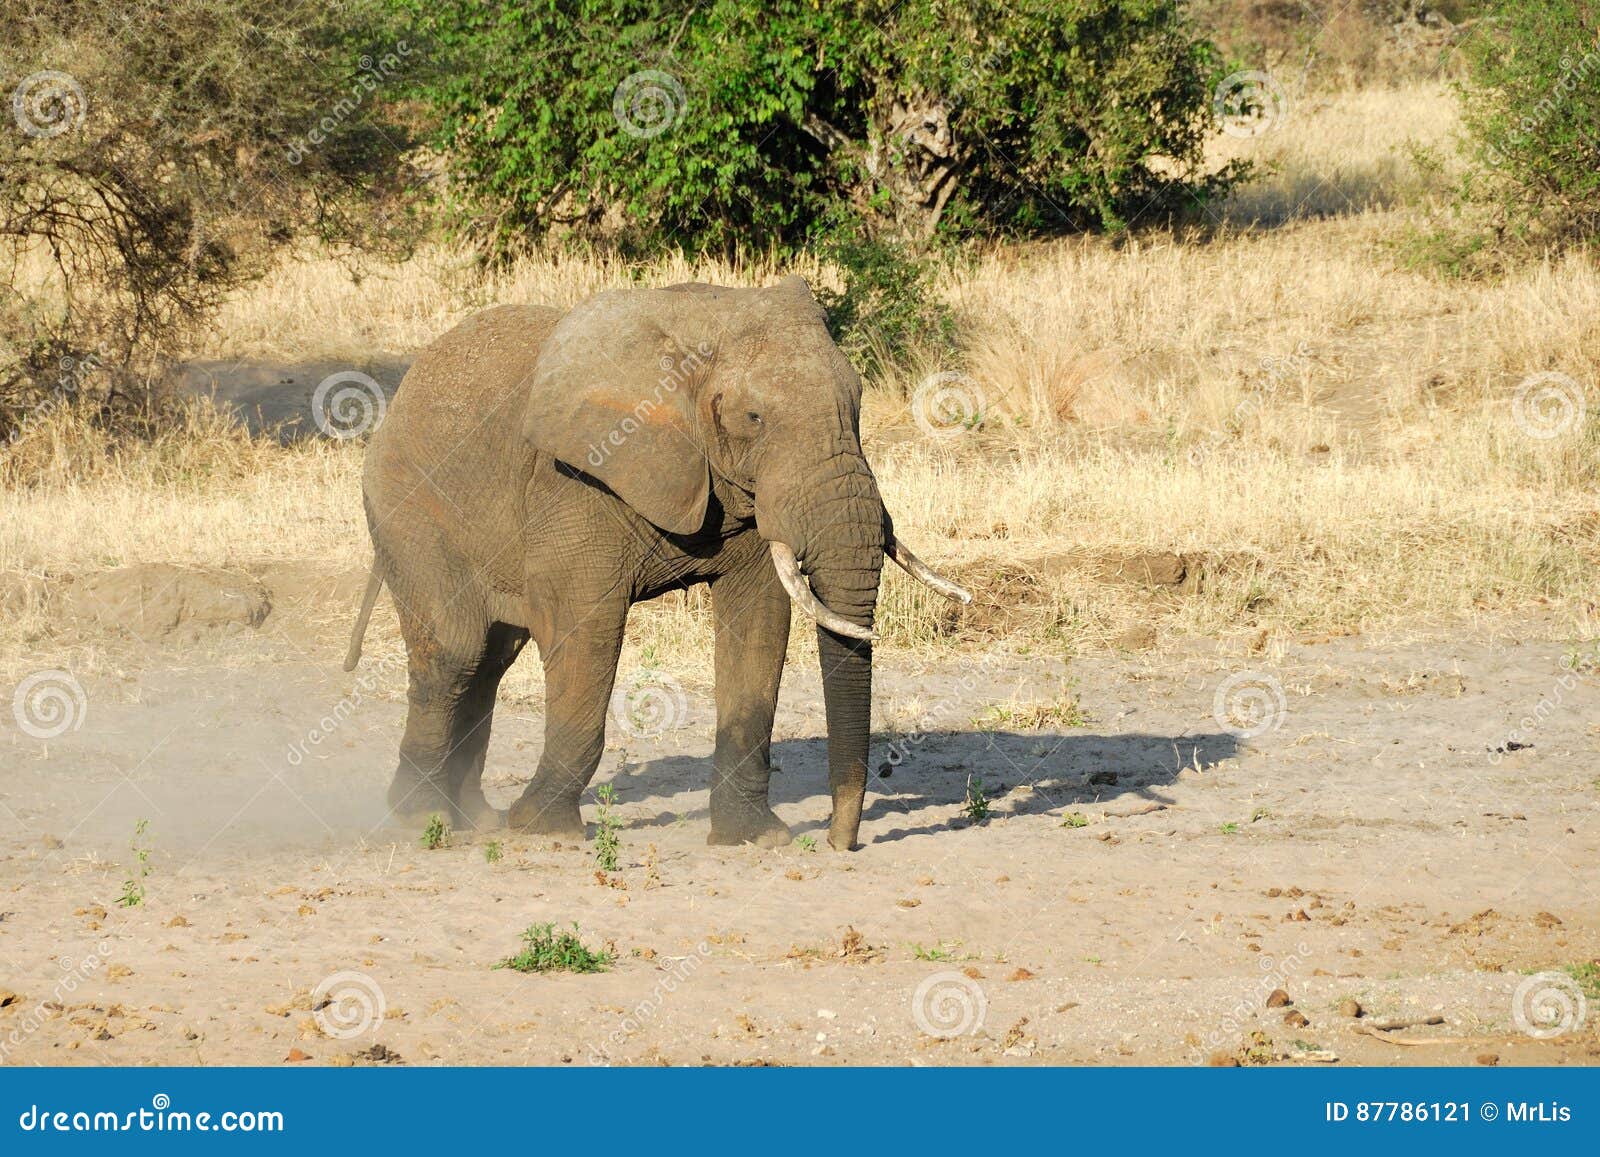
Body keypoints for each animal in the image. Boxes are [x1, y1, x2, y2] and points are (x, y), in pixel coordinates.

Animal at [343, 276, 969, 851]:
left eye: (857, 404)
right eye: (753, 418)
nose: (842, 843)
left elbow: (760, 623)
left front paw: (754, 839)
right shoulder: (577, 478)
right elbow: (585, 628)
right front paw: (544, 831)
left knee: (491, 660)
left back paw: (477, 820)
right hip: (408, 509)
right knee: (455, 651)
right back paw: (424, 820)